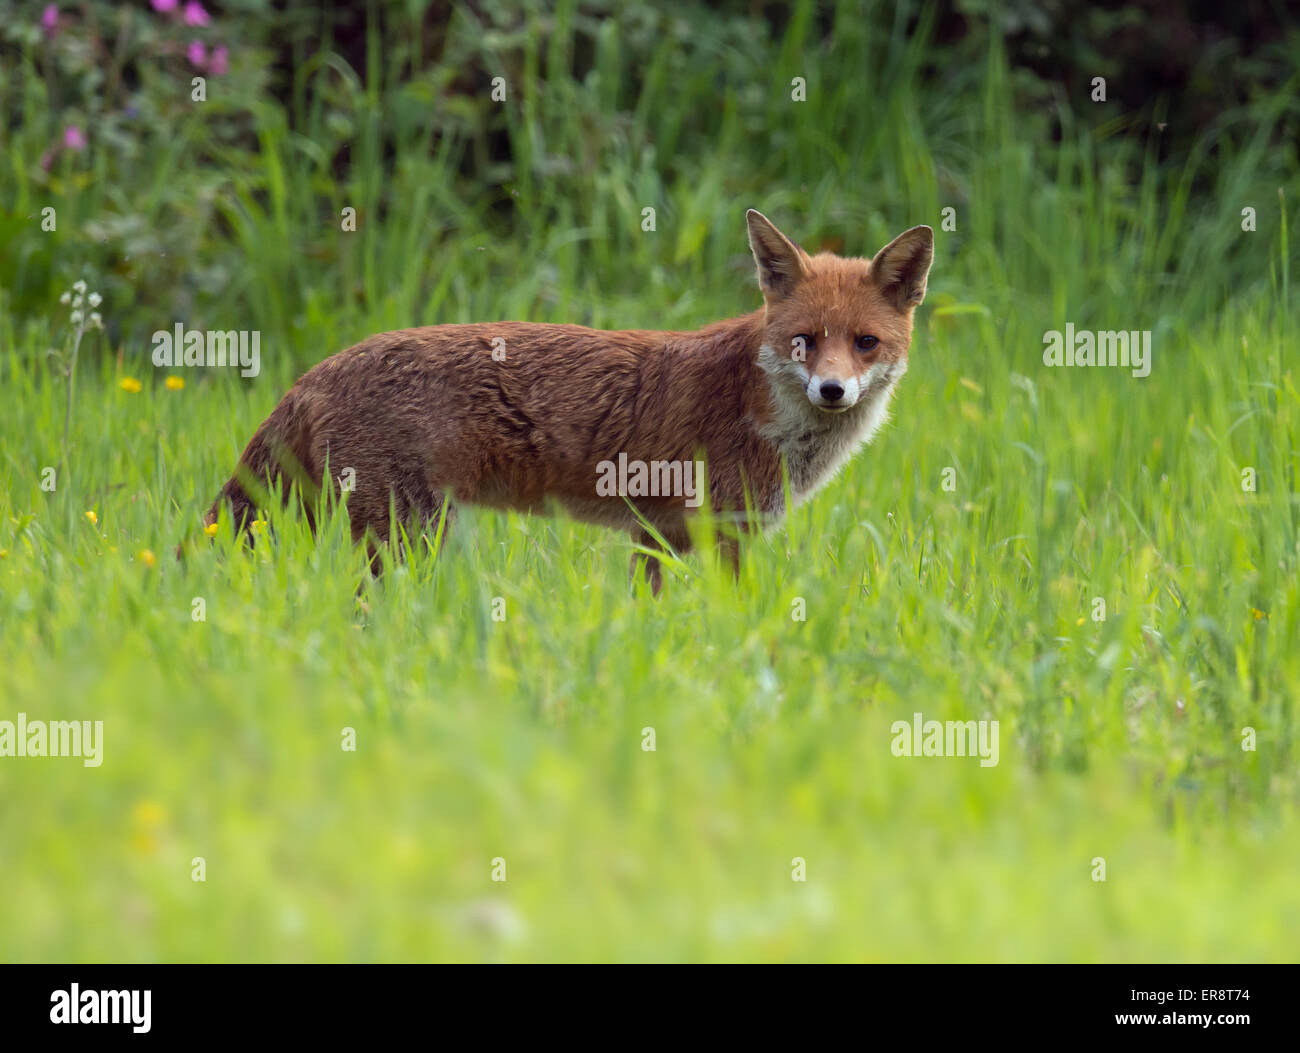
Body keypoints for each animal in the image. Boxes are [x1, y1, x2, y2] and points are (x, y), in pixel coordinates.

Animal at [203, 210, 933, 592]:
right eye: (803, 342)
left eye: (865, 343)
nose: (832, 390)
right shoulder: (713, 533)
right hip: (407, 537)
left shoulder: (662, 535)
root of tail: (317, 369)